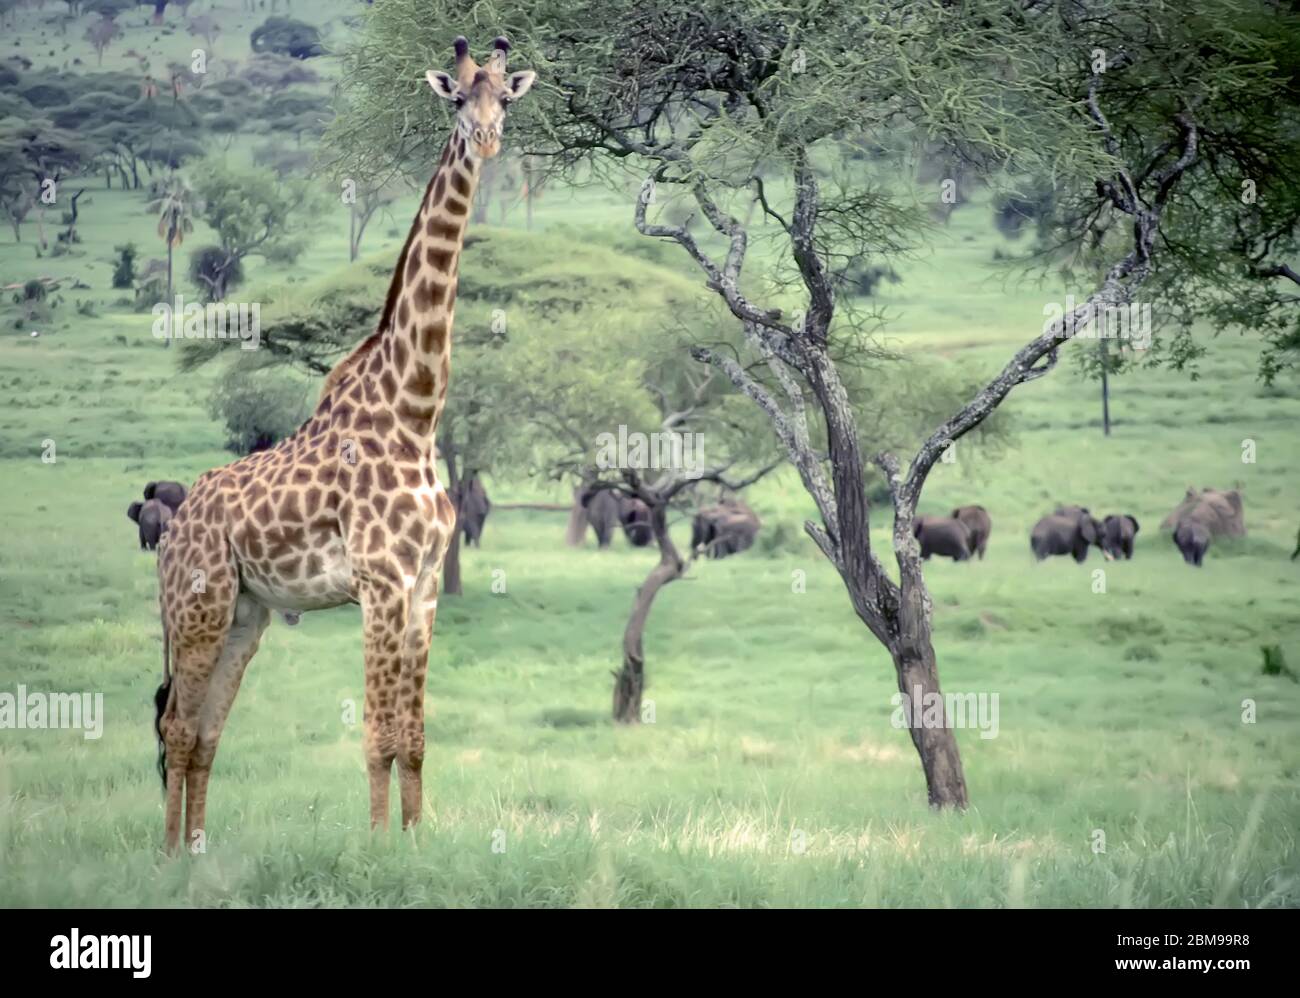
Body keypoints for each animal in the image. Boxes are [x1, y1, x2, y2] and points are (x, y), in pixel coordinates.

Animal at [153, 35, 536, 854]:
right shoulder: (380, 583)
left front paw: (416, 842)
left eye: (505, 98)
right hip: (198, 606)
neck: (416, 410)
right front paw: (378, 846)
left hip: (245, 614)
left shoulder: (423, 586)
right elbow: (378, 733)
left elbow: (415, 736)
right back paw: (167, 856)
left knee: (206, 732)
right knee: (176, 726)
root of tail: (170, 531)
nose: (487, 138)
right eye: (458, 97)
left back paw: (198, 851)